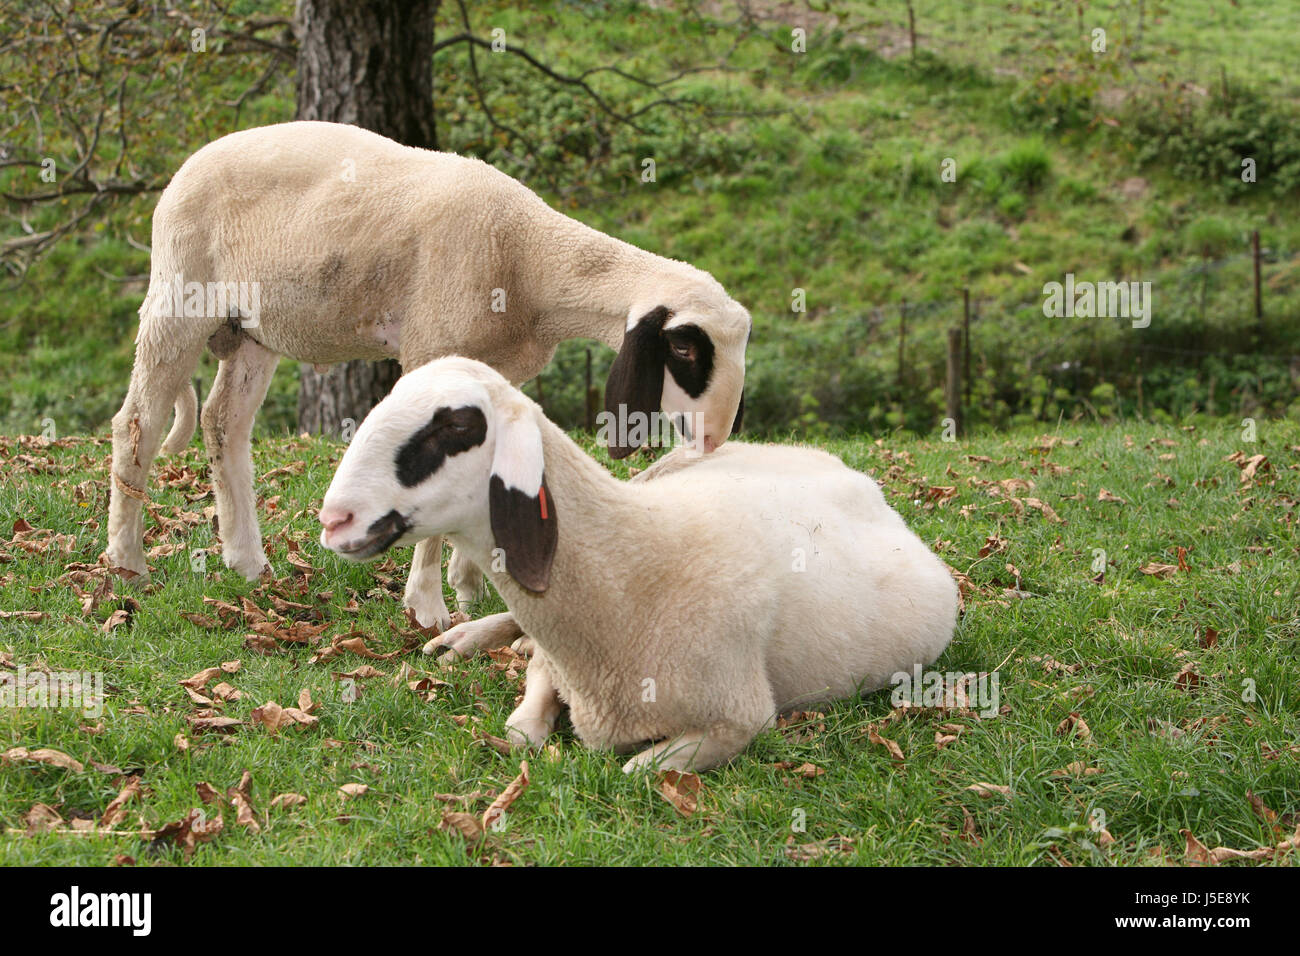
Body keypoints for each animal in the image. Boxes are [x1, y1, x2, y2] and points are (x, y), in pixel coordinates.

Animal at [103, 120, 750, 631]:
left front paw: (470, 586)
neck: (529, 258)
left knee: (223, 424)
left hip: (252, 330)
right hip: (179, 296)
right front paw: (428, 607)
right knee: (136, 424)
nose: (715, 438)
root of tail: (184, 170)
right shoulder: (432, 349)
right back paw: (126, 564)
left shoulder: (494, 370)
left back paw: (246, 562)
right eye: (685, 348)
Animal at [317, 357, 960, 772]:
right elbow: (522, 731)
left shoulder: (741, 719)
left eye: (455, 425)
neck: (640, 566)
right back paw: (467, 637)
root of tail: (858, 479)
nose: (334, 519)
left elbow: (635, 770)